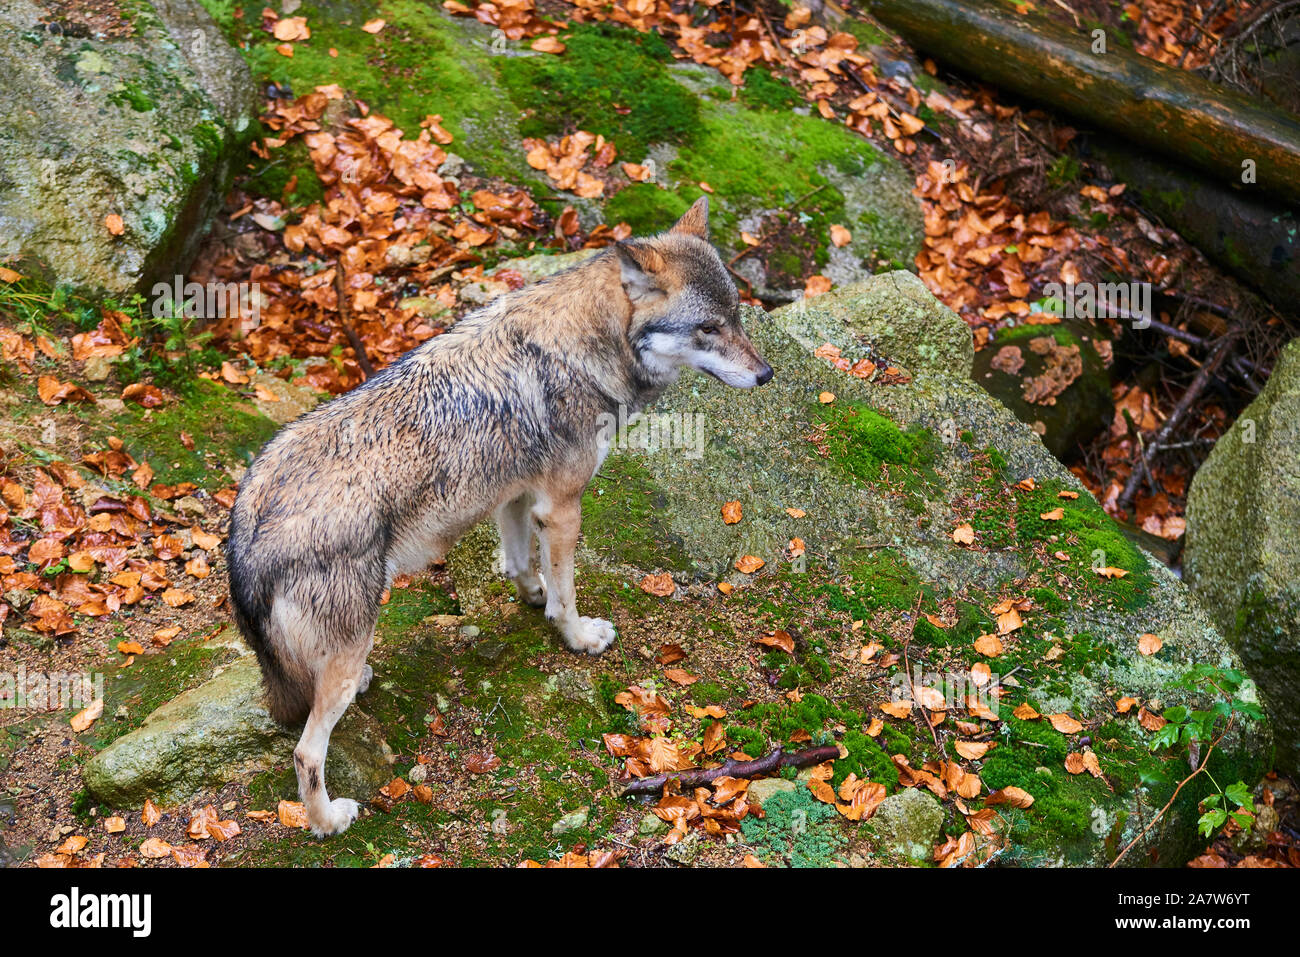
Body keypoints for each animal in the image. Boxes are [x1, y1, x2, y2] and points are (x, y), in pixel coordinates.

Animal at [226, 197, 772, 836]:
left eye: (736, 317)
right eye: (707, 329)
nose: (765, 375)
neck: (589, 346)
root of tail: (246, 527)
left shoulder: (516, 497)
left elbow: (521, 565)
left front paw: (532, 596)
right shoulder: (562, 506)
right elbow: (567, 593)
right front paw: (578, 637)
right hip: (347, 647)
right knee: (306, 752)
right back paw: (328, 821)